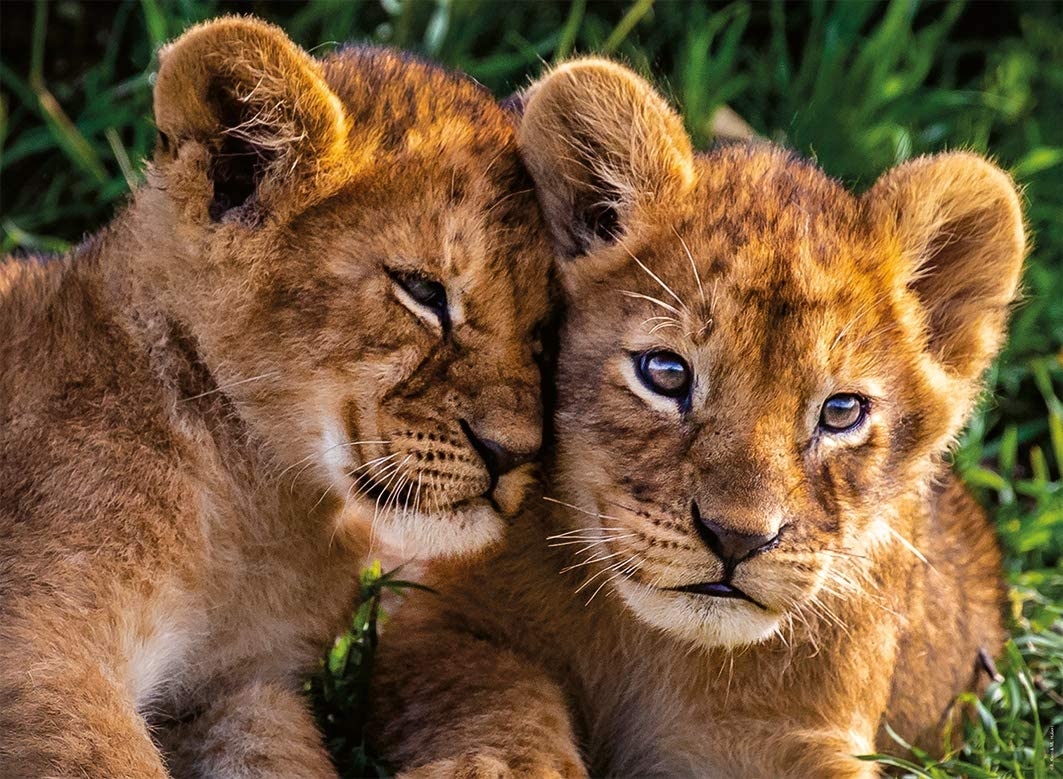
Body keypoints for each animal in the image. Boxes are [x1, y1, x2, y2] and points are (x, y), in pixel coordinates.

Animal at [0, 17, 554, 778]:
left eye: (544, 331)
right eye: (422, 291)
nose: (513, 453)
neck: (254, 501)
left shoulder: (239, 683)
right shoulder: (38, 643)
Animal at [370, 59, 1023, 778]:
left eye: (841, 411)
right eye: (665, 372)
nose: (735, 539)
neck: (656, 649)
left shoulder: (801, 735)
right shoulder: (435, 620)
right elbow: (499, 697)